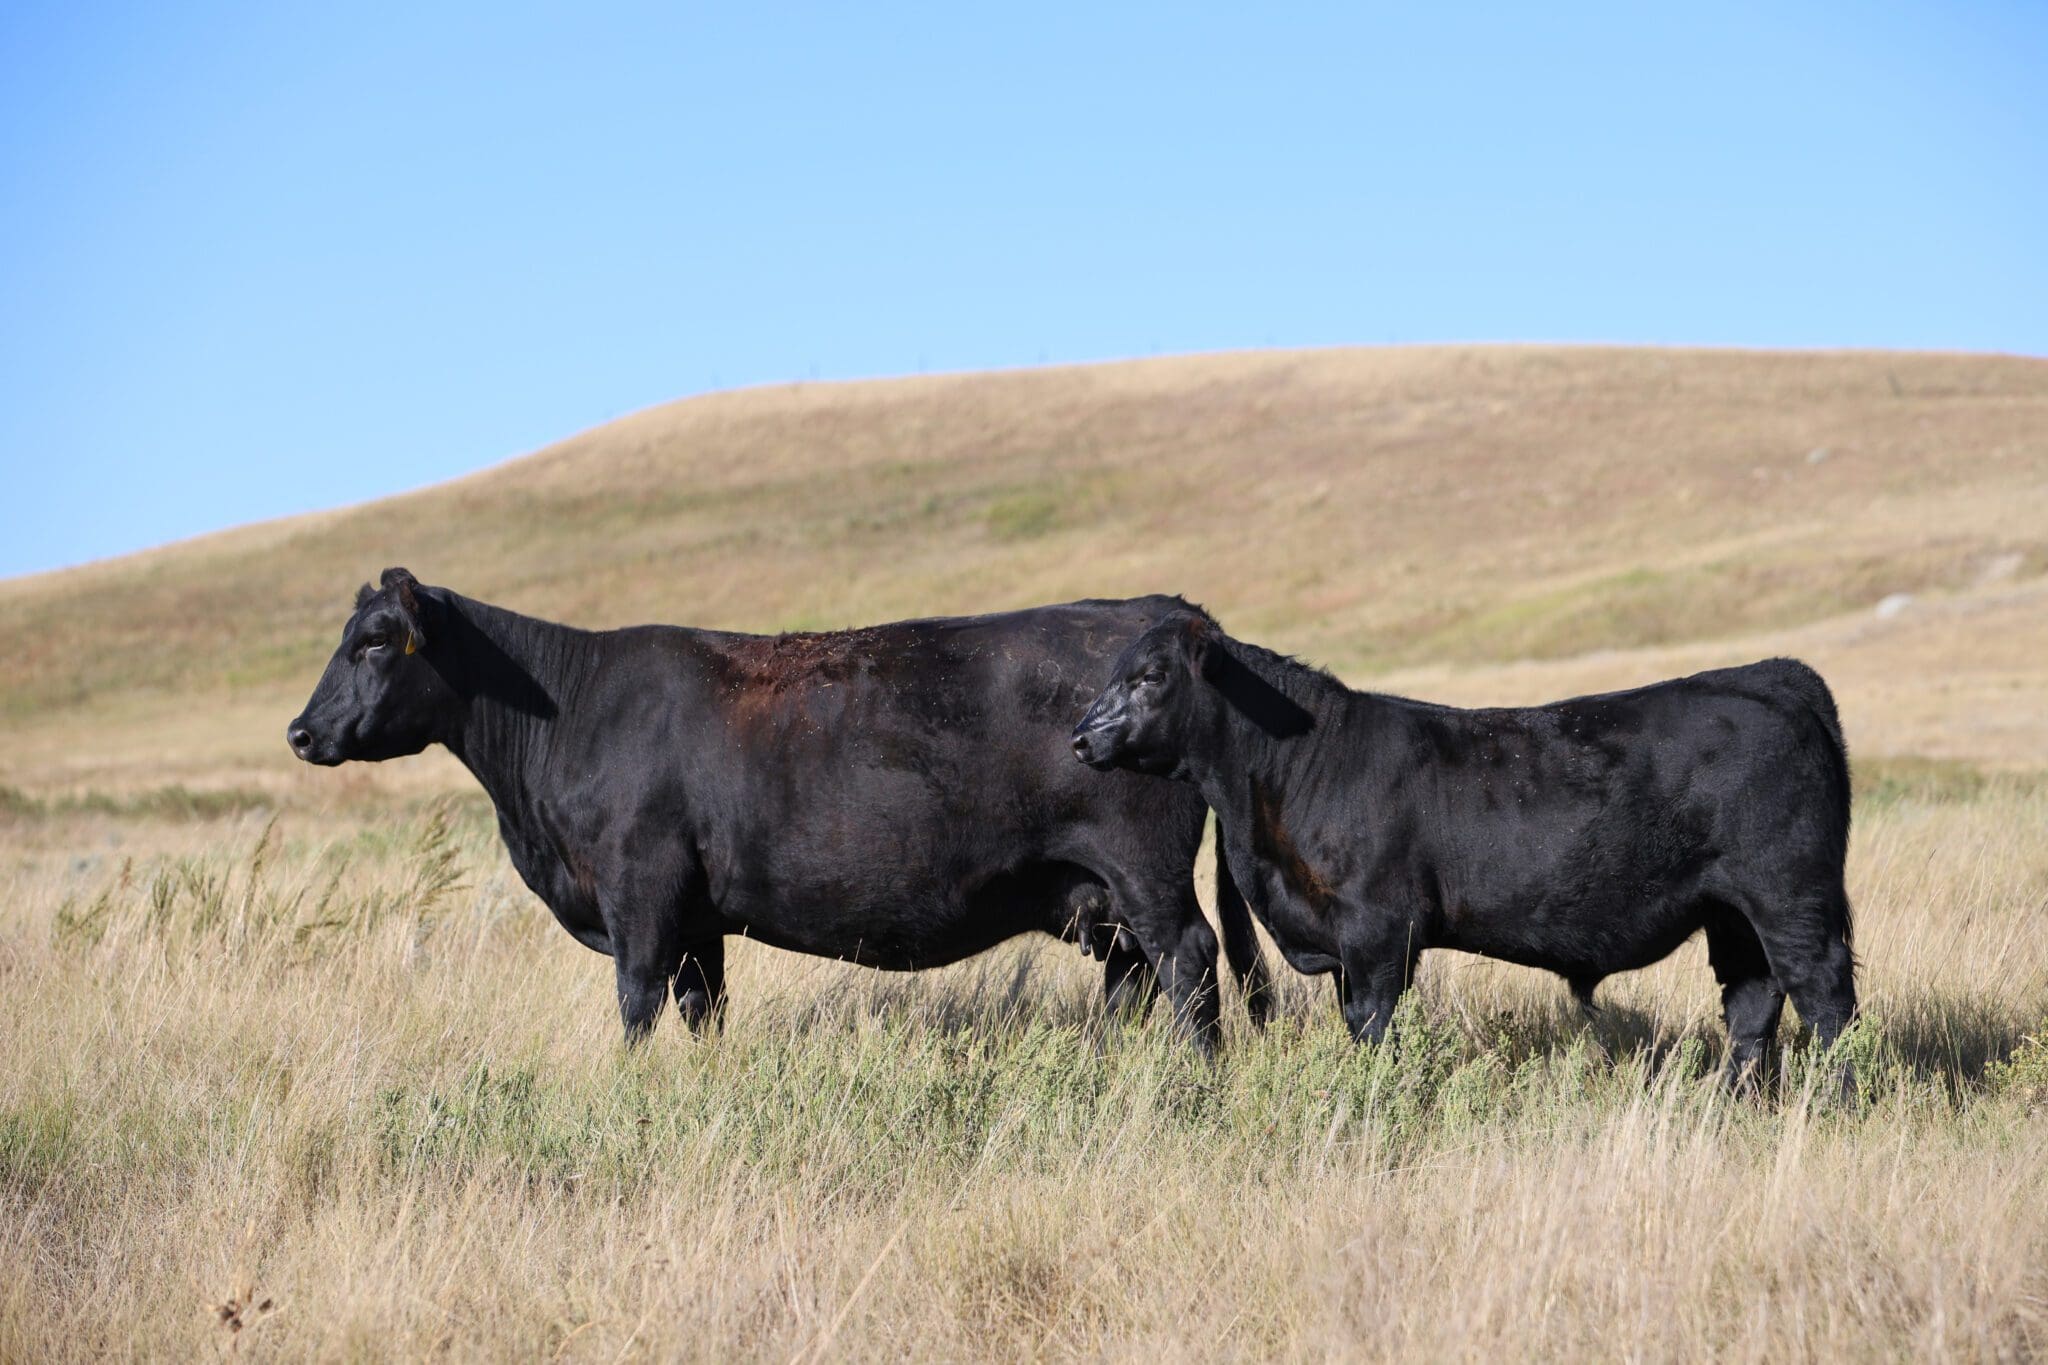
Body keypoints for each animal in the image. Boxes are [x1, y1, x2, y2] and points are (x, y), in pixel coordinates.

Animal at [287, 570, 1270, 1048]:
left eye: (374, 640)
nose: (300, 731)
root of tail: (1164, 610)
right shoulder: (697, 919)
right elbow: (701, 1010)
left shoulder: (640, 893)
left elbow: (637, 1005)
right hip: (1101, 893)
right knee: (1133, 979)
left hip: (1143, 870)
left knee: (1188, 960)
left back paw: (1196, 1078)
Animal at [1070, 609, 1857, 1089]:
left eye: (1149, 676)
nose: (1079, 738)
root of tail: (1770, 673)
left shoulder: (1378, 933)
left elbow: (1374, 1027)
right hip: (1734, 913)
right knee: (1753, 1002)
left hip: (1790, 896)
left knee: (1825, 999)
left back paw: (1837, 1099)